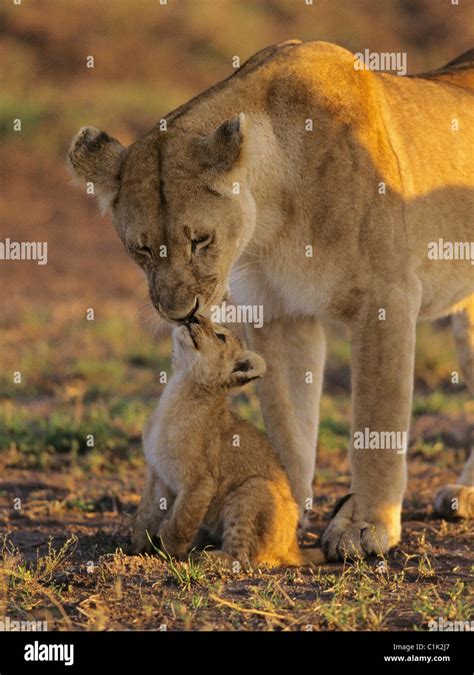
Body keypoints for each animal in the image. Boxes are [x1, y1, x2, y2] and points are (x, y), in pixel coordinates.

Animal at [68, 40, 474, 560]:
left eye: (200, 240)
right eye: (140, 249)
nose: (180, 314)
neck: (274, 213)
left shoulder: (387, 297)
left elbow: (377, 422)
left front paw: (363, 525)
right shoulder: (278, 314)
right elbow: (288, 427)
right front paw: (284, 510)